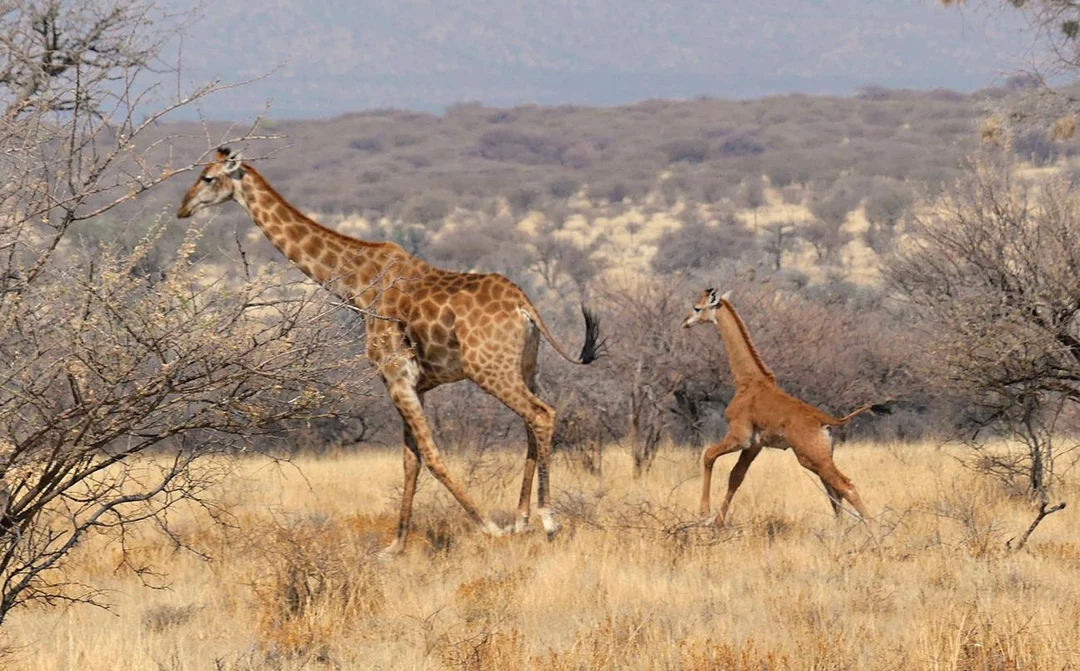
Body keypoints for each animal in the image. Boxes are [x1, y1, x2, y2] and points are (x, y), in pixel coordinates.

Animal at [177, 148, 602, 553]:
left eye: (207, 178)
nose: (183, 208)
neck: (356, 284)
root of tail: (524, 306)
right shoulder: (415, 384)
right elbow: (410, 460)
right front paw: (396, 546)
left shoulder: (395, 376)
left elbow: (430, 455)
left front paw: (488, 529)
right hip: (525, 367)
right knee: (531, 422)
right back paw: (522, 520)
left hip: (490, 369)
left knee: (541, 415)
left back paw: (546, 520)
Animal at [681, 288, 889, 524]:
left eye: (697, 308)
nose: (685, 322)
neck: (747, 381)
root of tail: (827, 420)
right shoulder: (755, 445)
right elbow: (736, 477)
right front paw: (718, 522)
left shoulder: (740, 436)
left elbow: (708, 455)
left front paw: (704, 513)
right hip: (820, 457)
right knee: (834, 492)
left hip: (811, 457)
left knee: (846, 486)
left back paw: (873, 528)